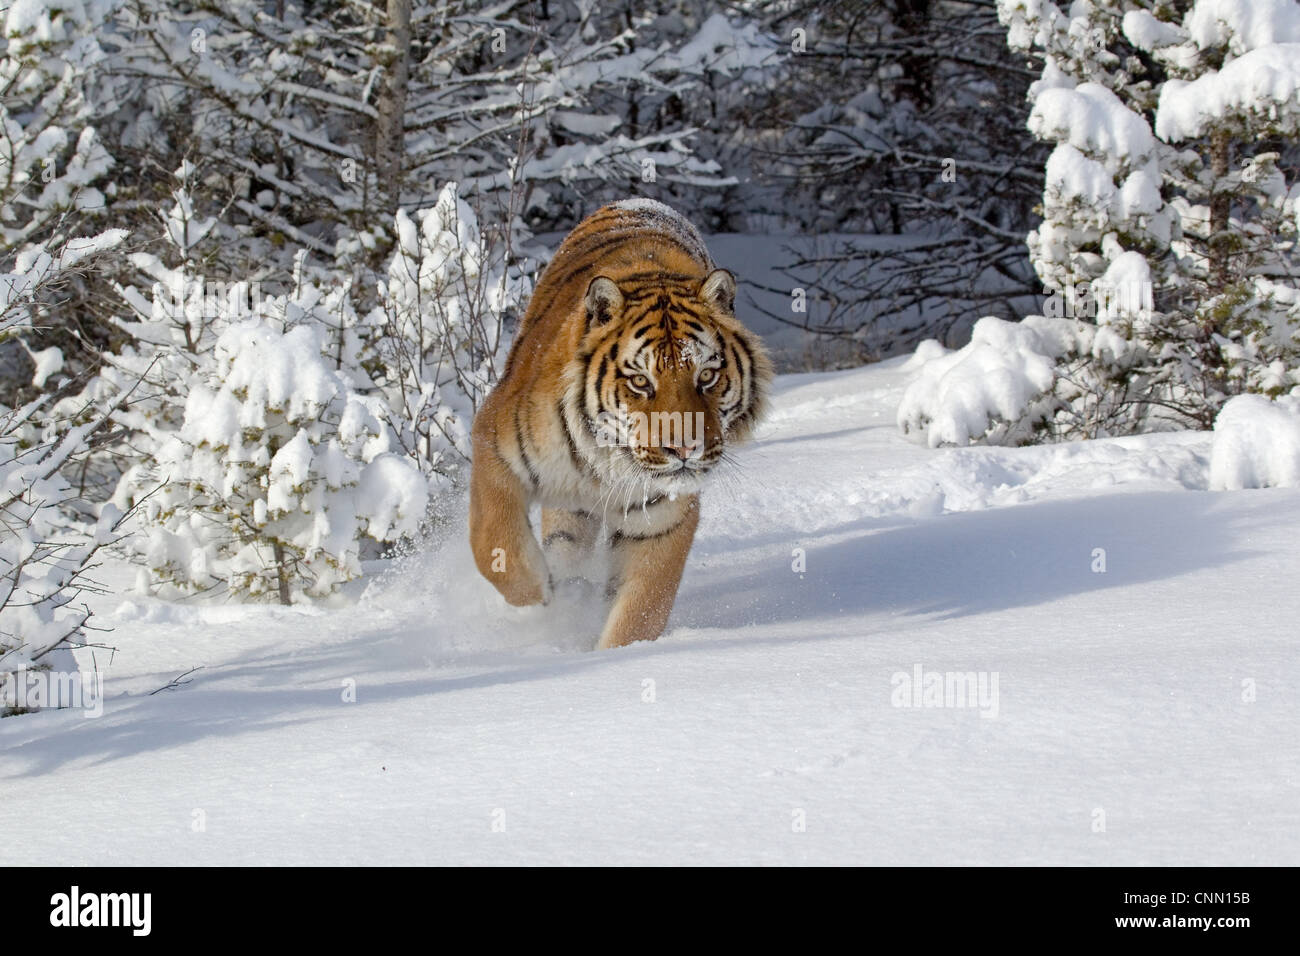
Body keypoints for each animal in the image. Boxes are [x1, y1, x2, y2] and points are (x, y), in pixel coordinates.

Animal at [468, 198, 772, 650]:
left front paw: (613, 658)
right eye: (640, 381)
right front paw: (540, 593)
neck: (607, 460)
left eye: (706, 376)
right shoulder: (494, 444)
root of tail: (638, 202)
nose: (686, 449)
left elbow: (641, 610)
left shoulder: (661, 520)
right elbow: (493, 541)